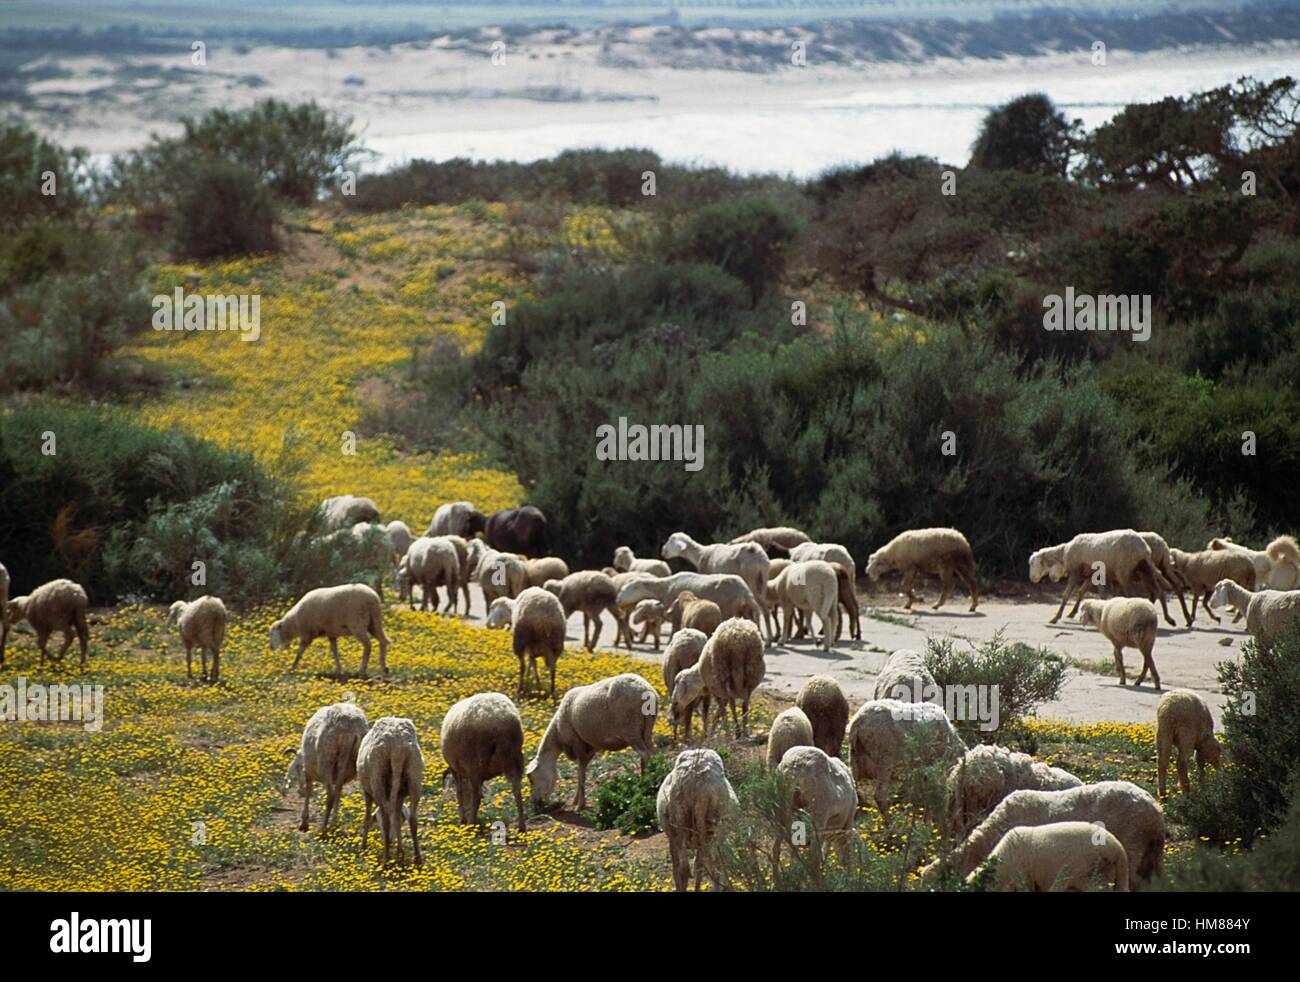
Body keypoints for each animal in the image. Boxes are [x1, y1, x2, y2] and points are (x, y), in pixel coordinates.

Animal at [286, 701, 369, 833]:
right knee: (339, 791)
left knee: (330, 794)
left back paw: (323, 828)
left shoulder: (309, 770)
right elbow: (339, 790)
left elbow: (309, 789)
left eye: (298, 768)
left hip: (326, 760)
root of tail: (349, 728)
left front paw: (304, 822)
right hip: (350, 761)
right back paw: (334, 824)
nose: (300, 791)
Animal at [358, 717, 424, 865]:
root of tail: (397, 749)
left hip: (377, 780)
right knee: (412, 819)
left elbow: (367, 817)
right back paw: (417, 858)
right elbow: (397, 819)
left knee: (387, 821)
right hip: (414, 776)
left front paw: (363, 846)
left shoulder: (367, 792)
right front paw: (400, 851)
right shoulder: (400, 795)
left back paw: (386, 859)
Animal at [440, 692, 526, 832]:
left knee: (477, 795)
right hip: (513, 757)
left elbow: (460, 794)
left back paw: (471, 823)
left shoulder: (456, 769)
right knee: (517, 790)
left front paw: (462, 820)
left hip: (475, 761)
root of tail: (499, 721)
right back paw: (521, 826)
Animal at [526, 673, 658, 811]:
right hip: (646, 730)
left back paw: (644, 784)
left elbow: (580, 774)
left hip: (631, 729)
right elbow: (582, 770)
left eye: (531, 780)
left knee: (645, 754)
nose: (536, 804)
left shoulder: (577, 742)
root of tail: (647, 690)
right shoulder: (591, 746)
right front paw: (576, 800)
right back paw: (654, 779)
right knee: (653, 754)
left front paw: (580, 805)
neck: (558, 733)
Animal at [1029, 530, 1164, 625]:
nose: (1032, 579)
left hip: (1125, 571)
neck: (1063, 553)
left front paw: (1055, 618)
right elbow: (1083, 592)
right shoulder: (1091, 575)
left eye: (1032, 563)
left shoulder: (1075, 572)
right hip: (1142, 570)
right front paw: (1073, 612)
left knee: (1133, 595)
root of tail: (1143, 548)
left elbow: (1066, 595)